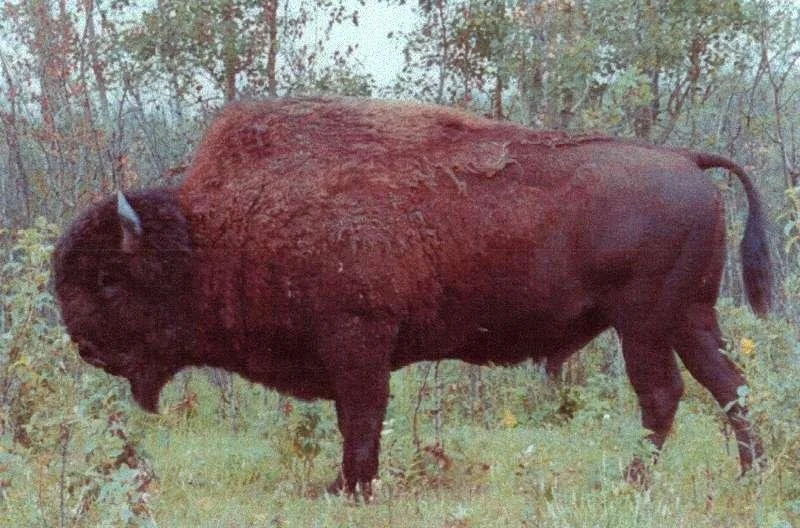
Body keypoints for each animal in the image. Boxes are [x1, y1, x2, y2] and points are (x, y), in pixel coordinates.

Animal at [53, 97, 771, 500]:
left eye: (110, 281)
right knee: (728, 385)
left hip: (643, 323)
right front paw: (346, 485)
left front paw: (349, 488)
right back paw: (749, 475)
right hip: (689, 318)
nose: (85, 348)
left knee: (663, 395)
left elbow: (361, 417)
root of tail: (685, 158)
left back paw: (632, 481)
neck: (213, 232)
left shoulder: (357, 340)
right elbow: (359, 418)